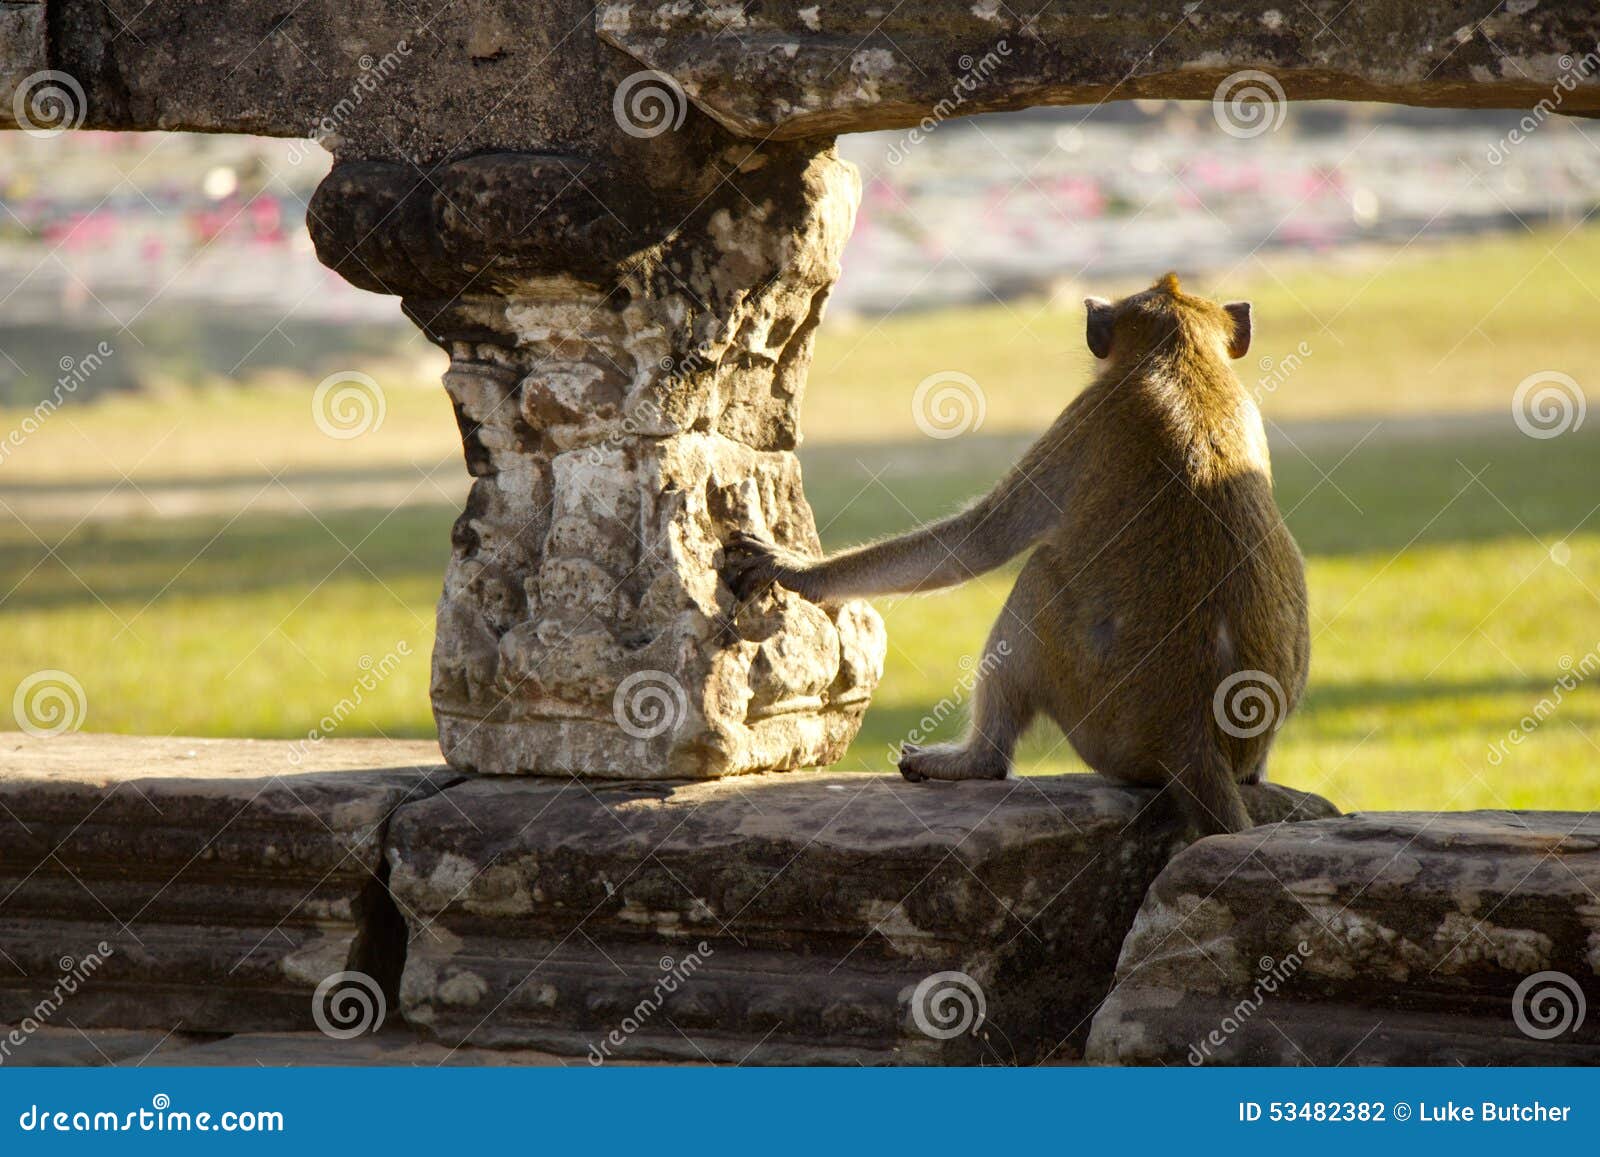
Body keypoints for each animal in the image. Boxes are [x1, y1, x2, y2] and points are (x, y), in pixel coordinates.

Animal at [723, 273, 1309, 837]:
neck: (1186, 360)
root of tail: (1193, 740)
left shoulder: (1086, 415)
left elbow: (978, 542)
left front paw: (796, 570)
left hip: (1100, 717)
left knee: (1039, 576)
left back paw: (976, 761)